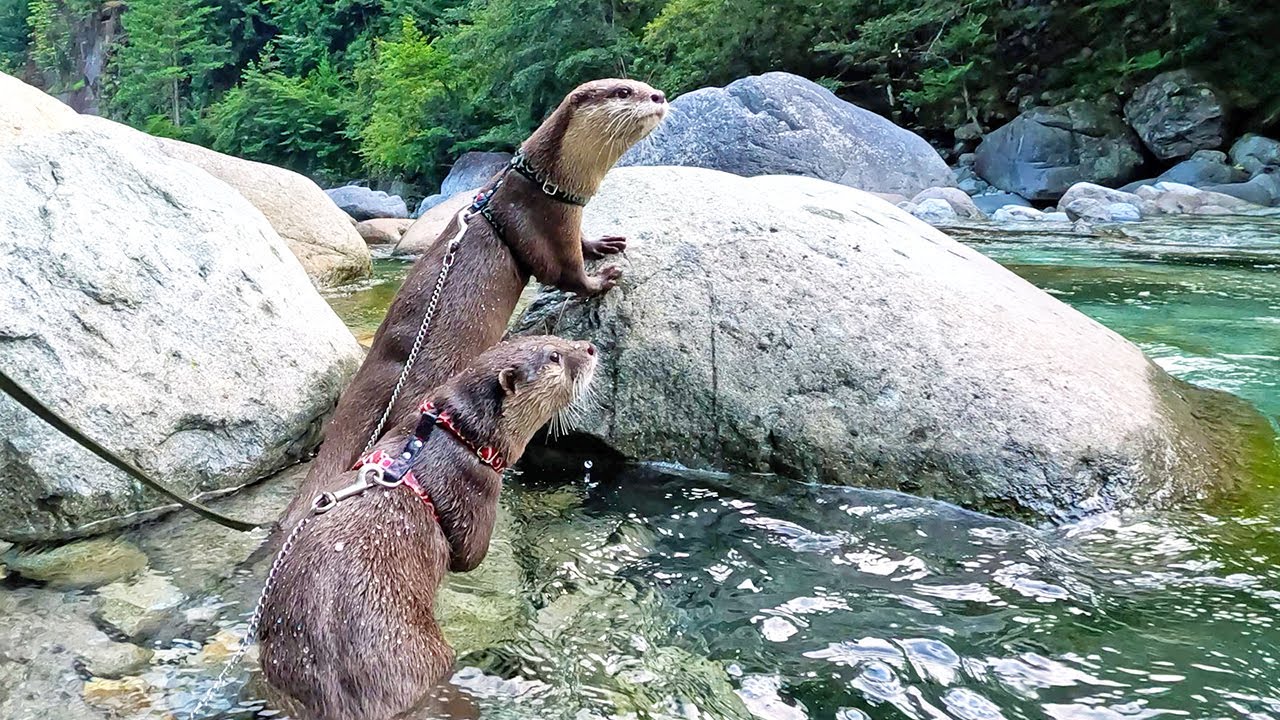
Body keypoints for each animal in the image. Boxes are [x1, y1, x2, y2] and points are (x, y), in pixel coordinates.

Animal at [259, 335, 598, 720]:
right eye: (554, 356)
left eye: (555, 338)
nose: (589, 348)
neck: (456, 437)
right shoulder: (476, 491)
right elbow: (468, 555)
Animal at [273, 78, 665, 542]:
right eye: (623, 91)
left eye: (641, 86)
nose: (659, 96)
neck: (545, 187)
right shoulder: (547, 225)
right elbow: (566, 275)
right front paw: (604, 279)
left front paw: (602, 244)